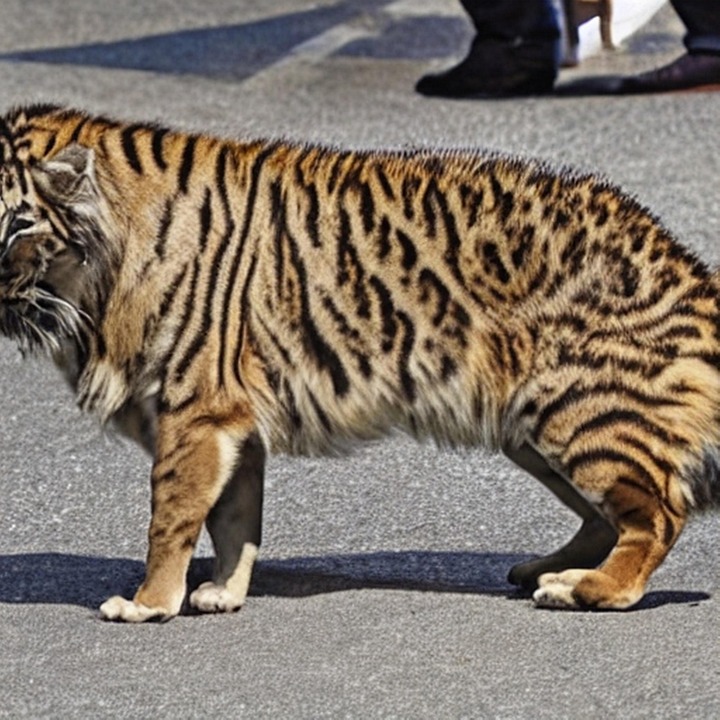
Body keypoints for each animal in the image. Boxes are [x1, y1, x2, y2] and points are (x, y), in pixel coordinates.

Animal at [0, 104, 718, 623]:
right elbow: (233, 517)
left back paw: (586, 589)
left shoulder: (196, 412)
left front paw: (149, 603)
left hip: (582, 413)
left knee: (658, 513)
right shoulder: (231, 420)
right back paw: (550, 570)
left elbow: (171, 516)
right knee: (608, 515)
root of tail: (690, 268)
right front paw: (223, 592)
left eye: (14, 224)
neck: (89, 281)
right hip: (532, 428)